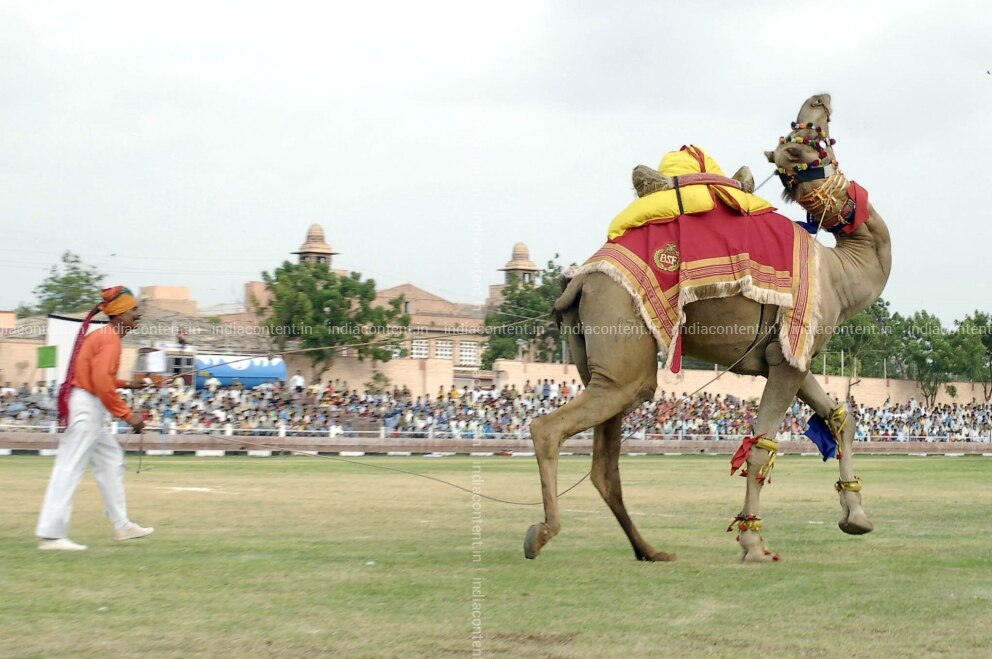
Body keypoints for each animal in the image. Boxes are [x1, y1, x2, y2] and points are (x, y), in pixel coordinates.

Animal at [525, 94, 892, 562]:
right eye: (799, 144)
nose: (820, 99)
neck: (842, 273)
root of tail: (579, 279)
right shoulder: (789, 356)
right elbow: (759, 448)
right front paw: (753, 544)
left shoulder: (790, 357)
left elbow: (838, 418)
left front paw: (857, 517)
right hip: (622, 340)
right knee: (550, 429)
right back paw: (543, 533)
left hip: (602, 363)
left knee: (604, 464)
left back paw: (650, 551)